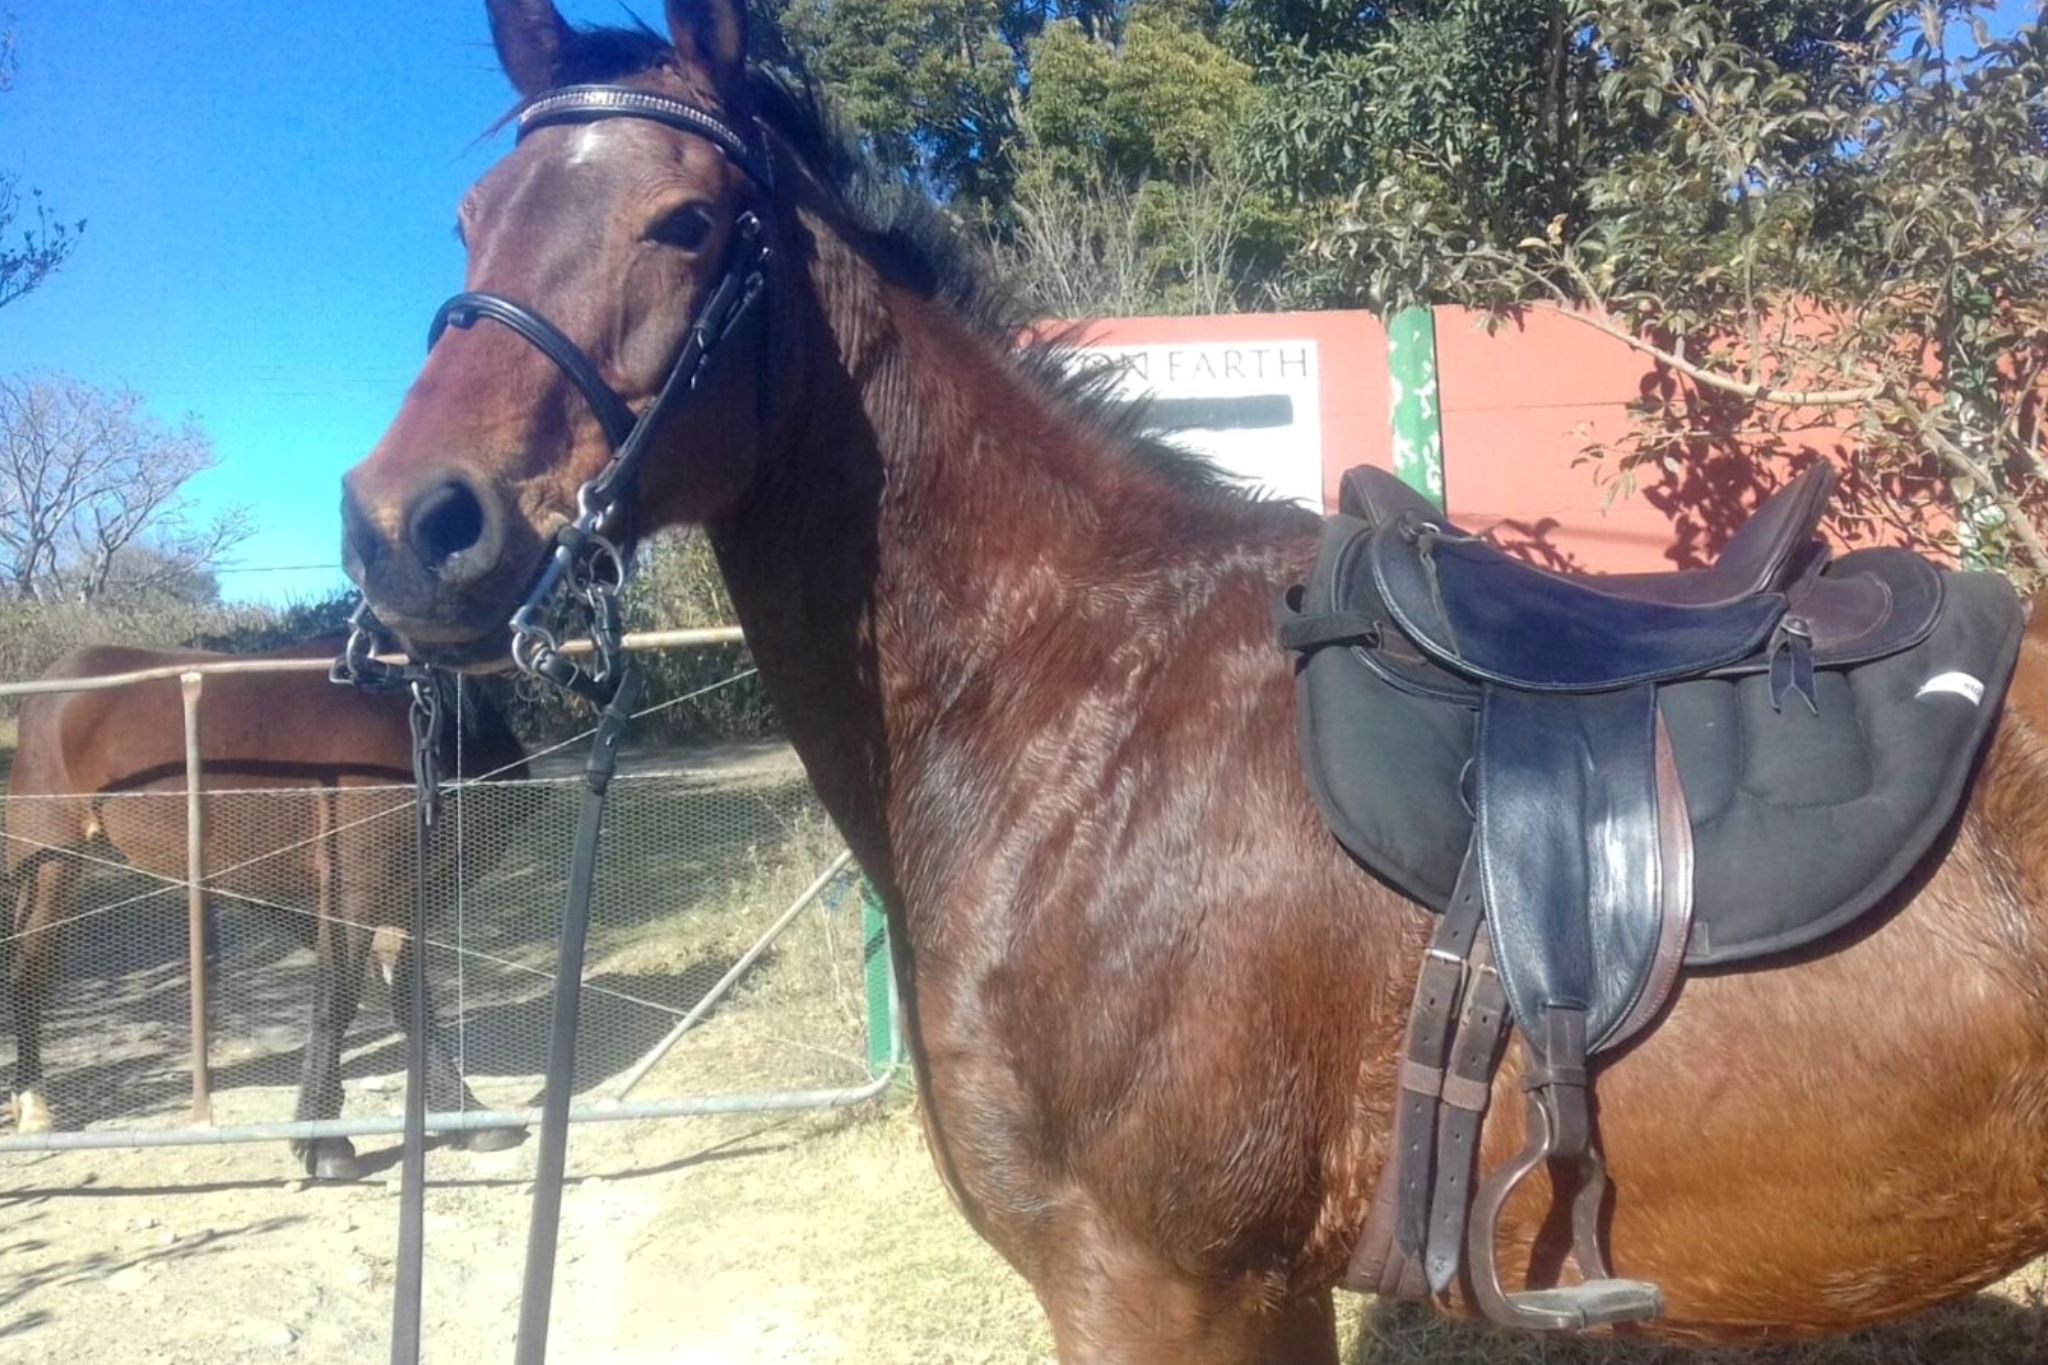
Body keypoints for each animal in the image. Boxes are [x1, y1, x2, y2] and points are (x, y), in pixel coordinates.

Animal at [3, 637, 529, 1179]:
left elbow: (410, 1002)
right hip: (50, 861)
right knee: (29, 975)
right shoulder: (354, 890)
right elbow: (336, 1001)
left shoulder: (414, 895)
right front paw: (322, 1144)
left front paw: (467, 1118)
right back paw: (35, 1107)